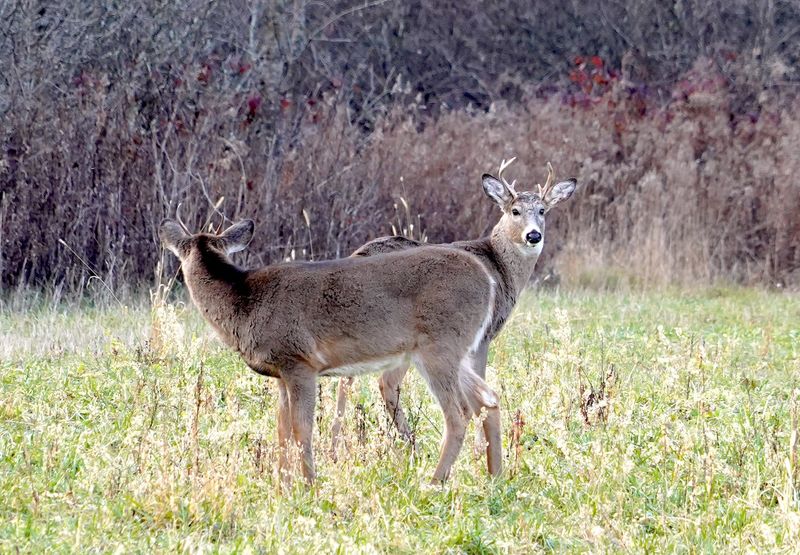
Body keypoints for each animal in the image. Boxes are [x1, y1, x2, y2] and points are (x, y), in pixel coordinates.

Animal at [159, 209, 505, 485]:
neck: (244, 303)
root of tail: (489, 282)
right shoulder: (280, 373)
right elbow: (282, 429)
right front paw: (282, 484)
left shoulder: (299, 360)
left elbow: (302, 428)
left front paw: (309, 484)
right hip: (454, 350)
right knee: (488, 398)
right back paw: (495, 477)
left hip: (439, 345)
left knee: (459, 413)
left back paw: (434, 482)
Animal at [330, 160, 577, 453]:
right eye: (514, 211)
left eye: (542, 211)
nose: (534, 235)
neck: (501, 267)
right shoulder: (483, 335)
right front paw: (481, 446)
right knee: (384, 382)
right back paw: (408, 444)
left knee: (349, 379)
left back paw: (338, 443)